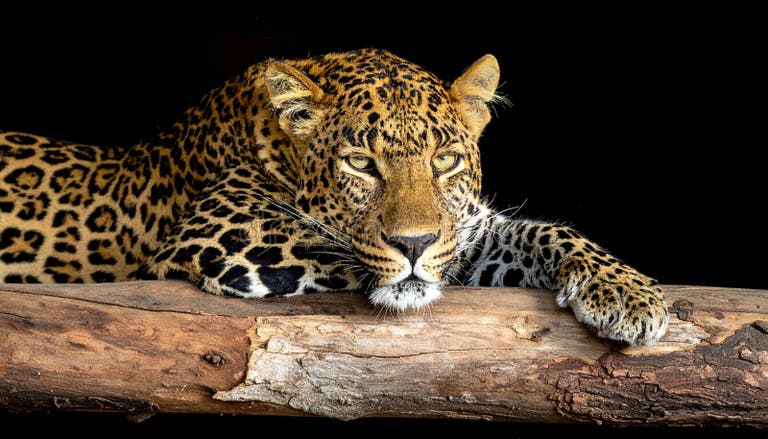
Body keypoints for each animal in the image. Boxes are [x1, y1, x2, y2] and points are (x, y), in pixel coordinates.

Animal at [0, 48, 668, 346]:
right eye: (360, 163)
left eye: (445, 160)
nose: (414, 244)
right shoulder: (227, 237)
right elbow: (354, 250)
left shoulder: (462, 233)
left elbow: (526, 231)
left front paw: (628, 293)